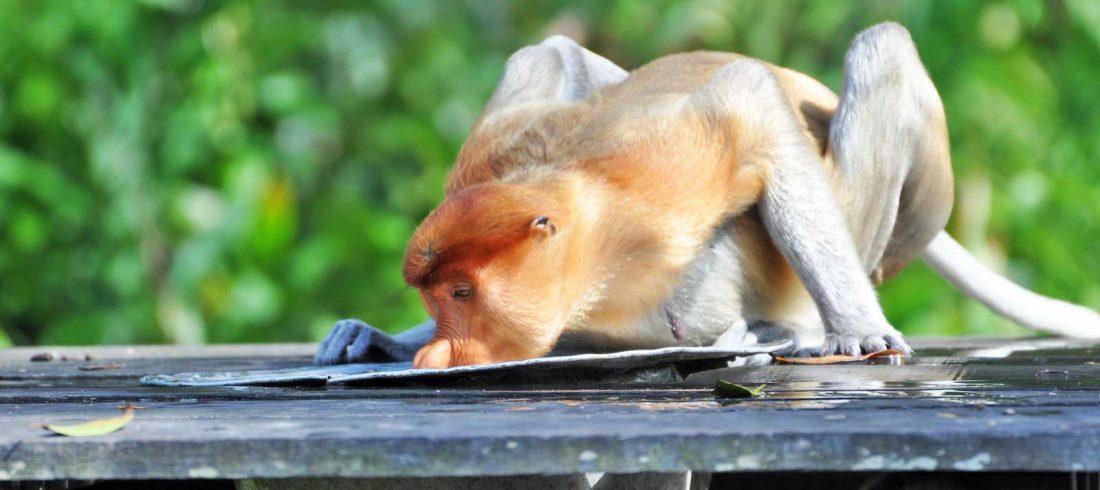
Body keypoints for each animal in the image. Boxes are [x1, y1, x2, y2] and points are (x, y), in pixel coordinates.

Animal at [315, 22, 1100, 369]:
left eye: (462, 293)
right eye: (432, 295)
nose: (444, 347)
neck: (593, 260)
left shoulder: (656, 186)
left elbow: (746, 102)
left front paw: (858, 329)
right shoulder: (493, 152)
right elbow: (545, 56)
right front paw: (379, 336)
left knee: (879, 44)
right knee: (558, 54)